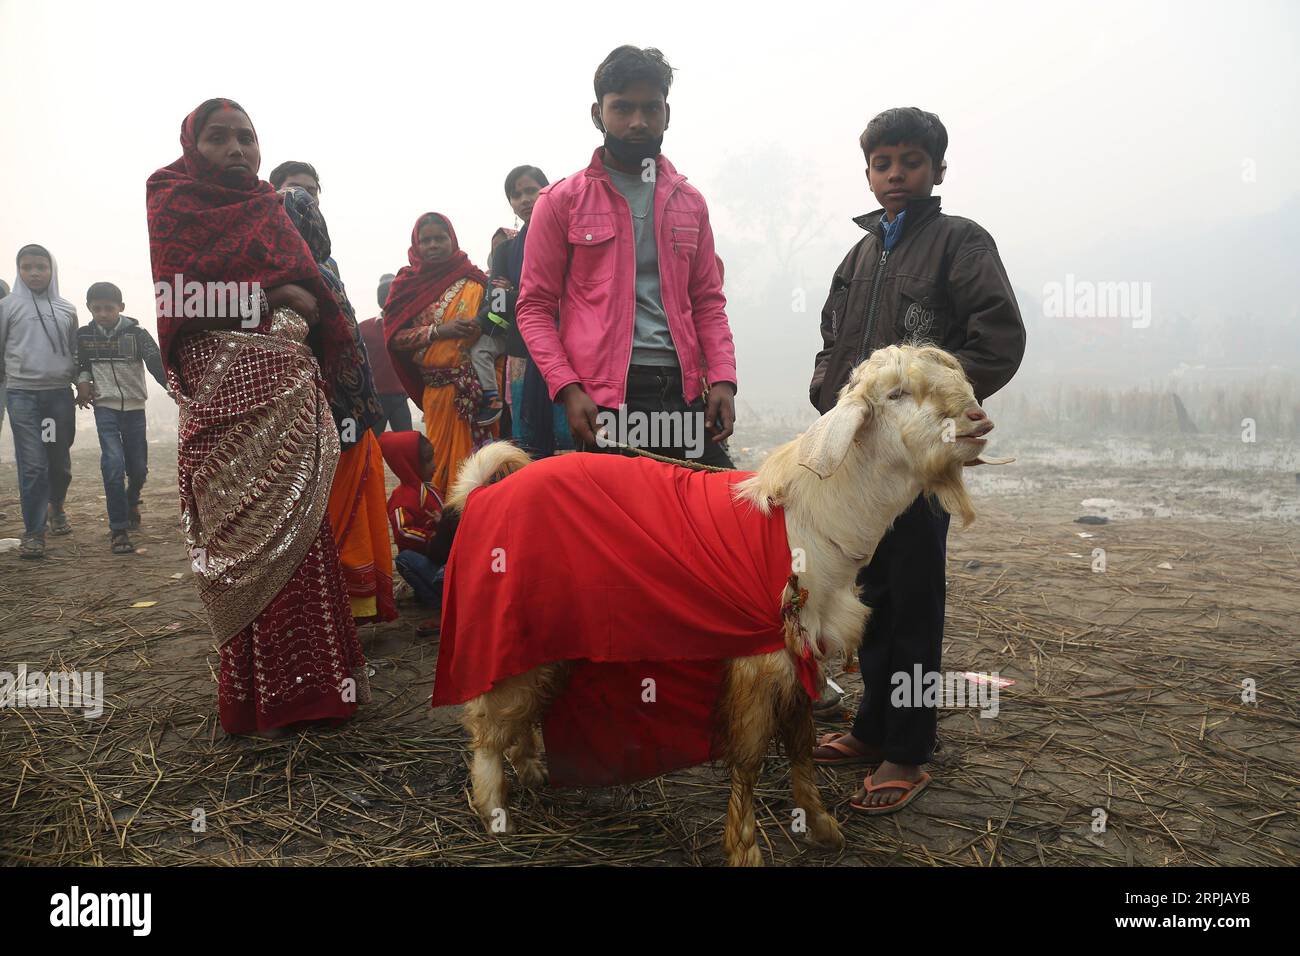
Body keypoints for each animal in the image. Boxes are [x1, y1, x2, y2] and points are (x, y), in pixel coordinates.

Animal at [443, 344, 1002, 865]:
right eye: (896, 394)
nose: (979, 419)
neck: (804, 524)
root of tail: (483, 493)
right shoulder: (758, 660)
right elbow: (750, 759)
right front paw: (746, 847)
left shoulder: (799, 654)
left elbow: (800, 743)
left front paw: (821, 826)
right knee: (487, 721)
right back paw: (494, 808)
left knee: (519, 708)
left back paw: (532, 769)